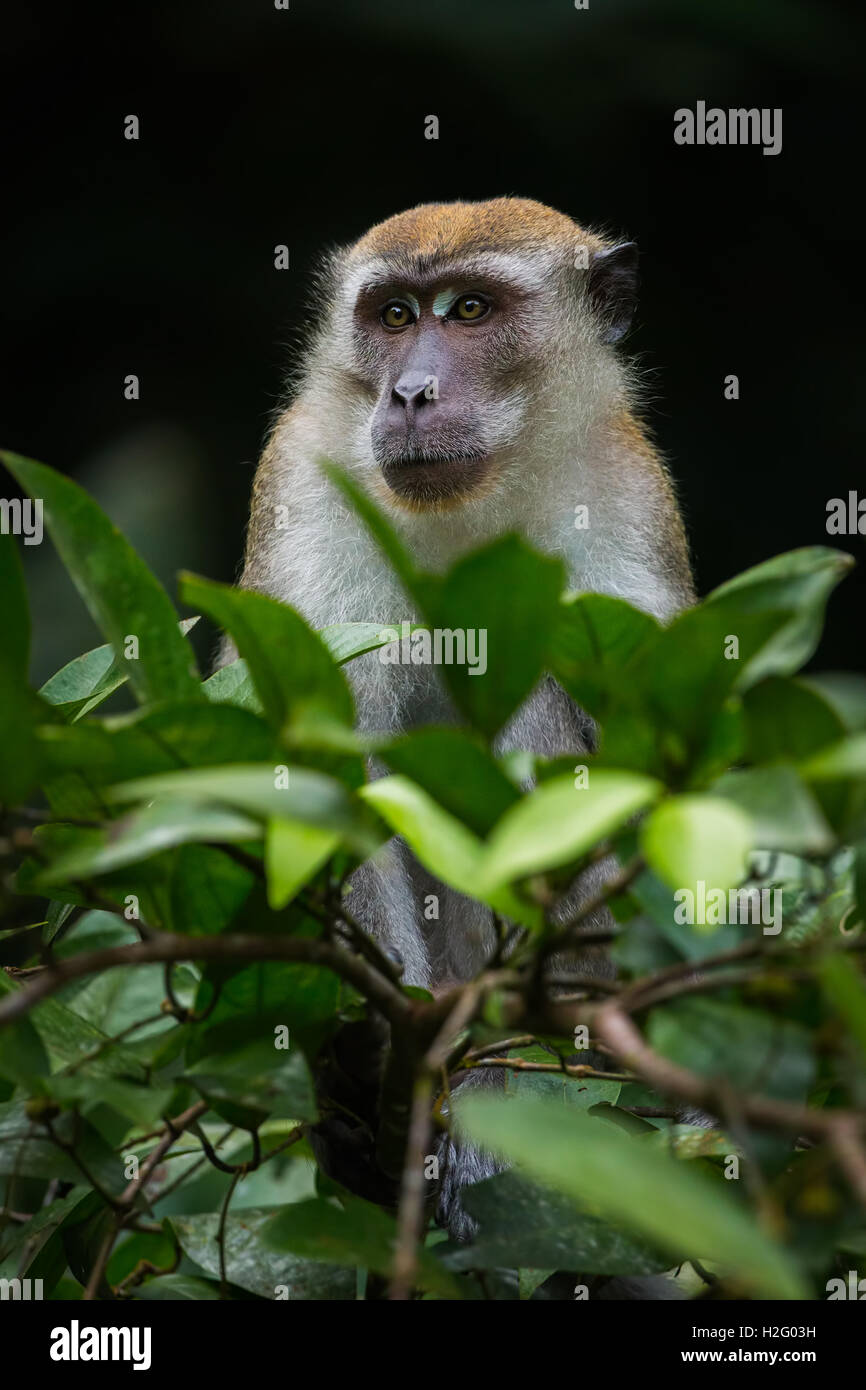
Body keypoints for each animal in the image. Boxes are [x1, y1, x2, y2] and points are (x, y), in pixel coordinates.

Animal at [230, 197, 695, 1245]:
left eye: (471, 310)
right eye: (396, 316)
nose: (408, 393)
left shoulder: (626, 493)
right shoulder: (306, 482)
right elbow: (322, 769)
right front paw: (392, 1061)